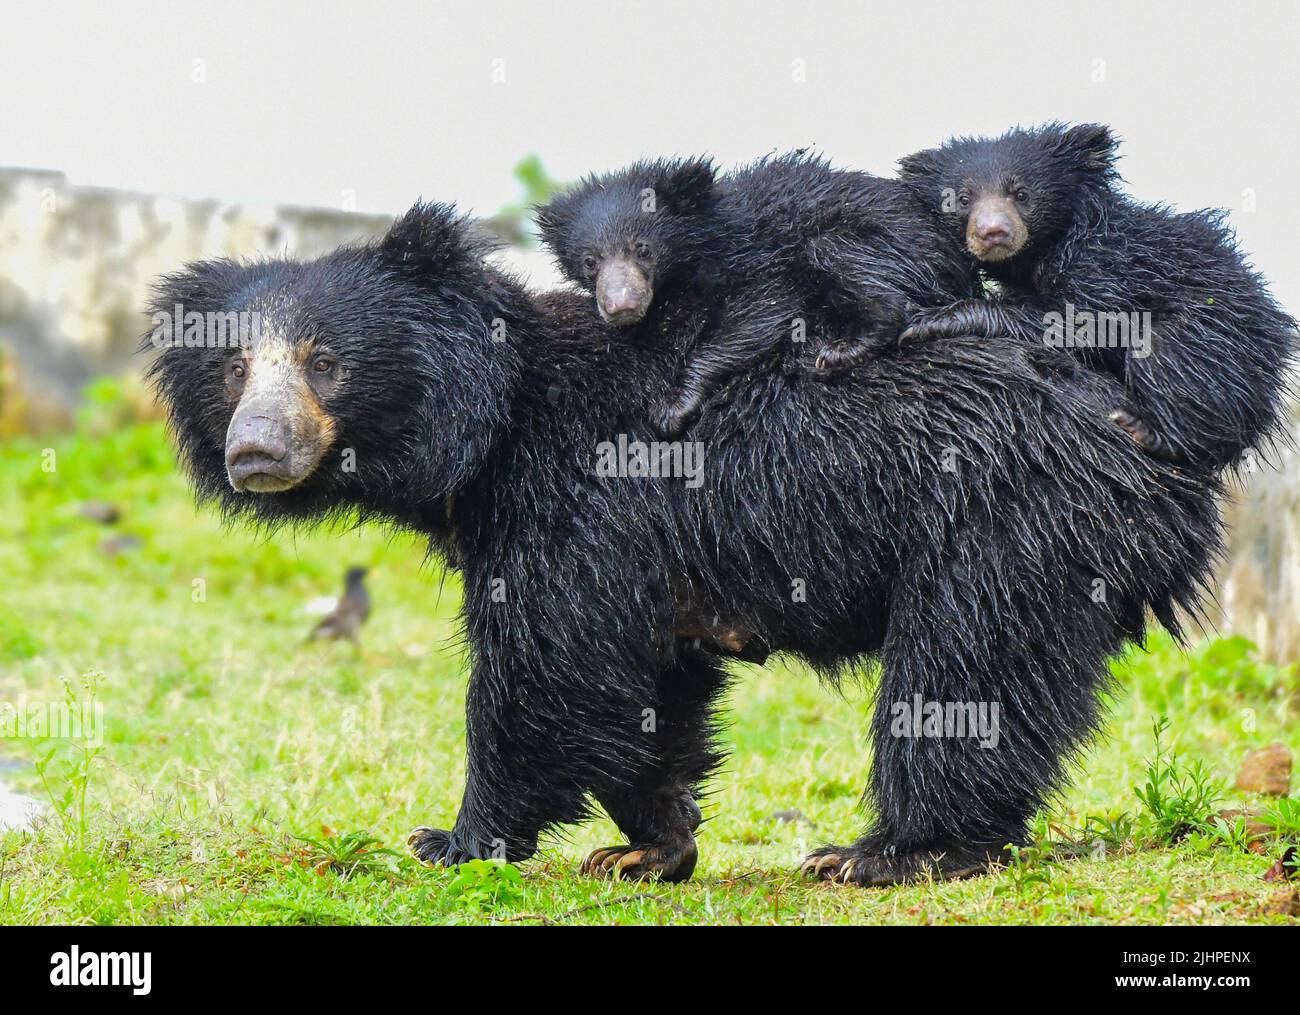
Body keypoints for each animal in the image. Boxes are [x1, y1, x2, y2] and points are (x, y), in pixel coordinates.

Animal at [148, 200, 1223, 886]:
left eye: (325, 361)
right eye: (235, 367)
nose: (254, 451)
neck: (488, 429)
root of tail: (1158, 443)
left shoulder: (578, 496)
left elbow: (551, 665)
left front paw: (453, 840)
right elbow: (645, 687)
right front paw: (644, 850)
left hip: (1006, 515)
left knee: (964, 672)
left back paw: (885, 853)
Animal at [537, 153, 982, 439]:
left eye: (642, 248)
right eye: (590, 261)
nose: (621, 306)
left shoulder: (755, 255)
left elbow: (763, 311)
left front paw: (671, 408)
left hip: (895, 251)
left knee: (842, 259)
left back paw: (843, 351)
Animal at [896, 122, 1297, 470]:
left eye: (1021, 193)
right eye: (962, 199)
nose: (993, 232)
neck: (1042, 252)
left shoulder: (1104, 266)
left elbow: (1076, 321)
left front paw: (930, 322)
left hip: (1218, 333)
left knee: (1172, 359)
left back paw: (1147, 430)